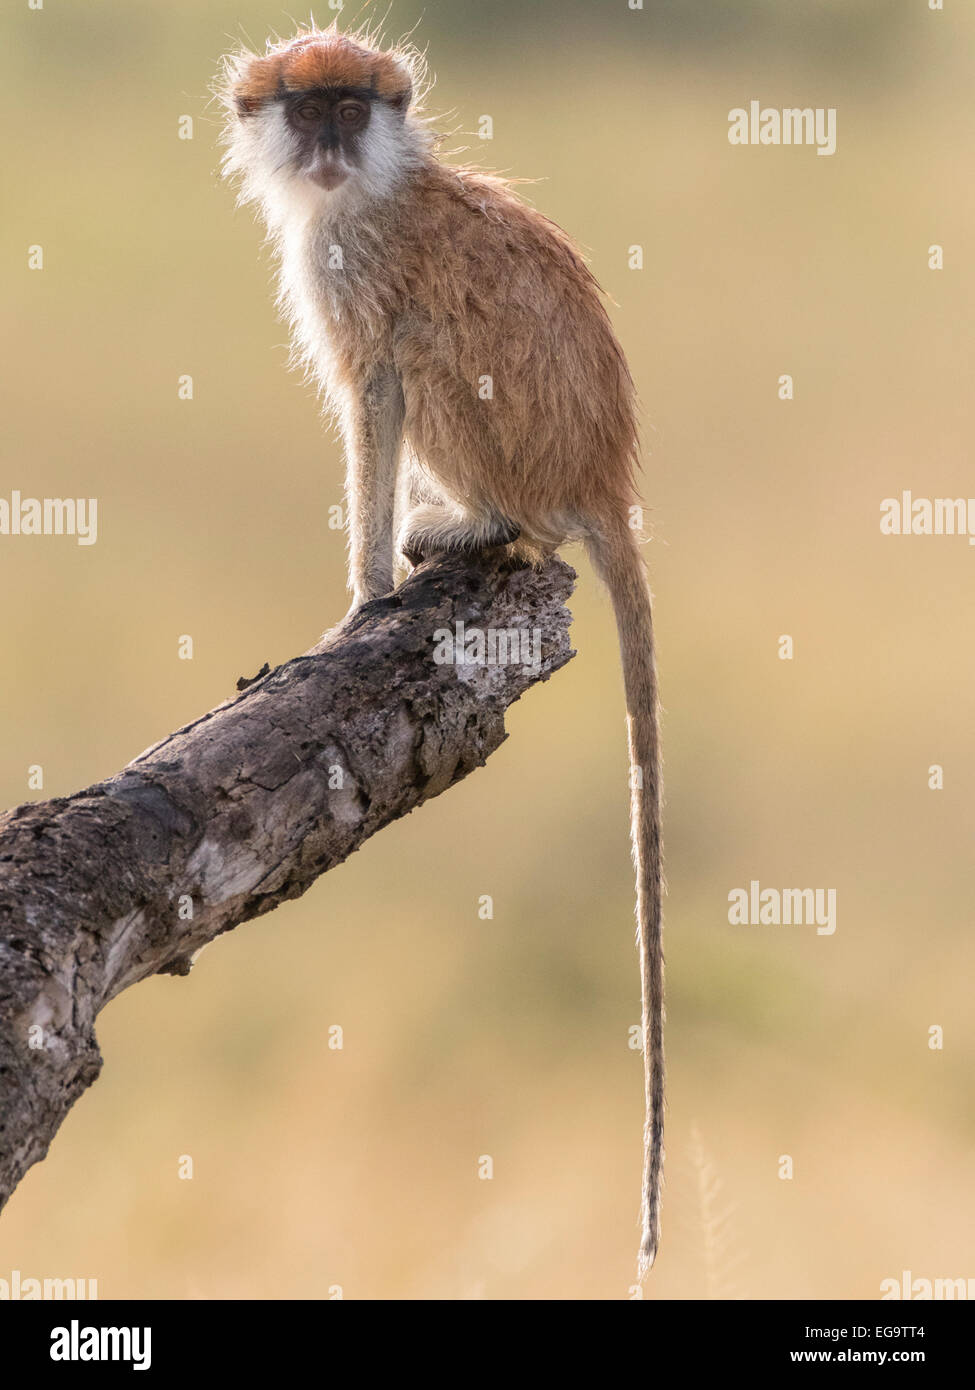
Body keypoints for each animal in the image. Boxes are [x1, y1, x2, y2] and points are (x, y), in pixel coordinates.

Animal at [218, 23, 664, 1277]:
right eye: (305, 110)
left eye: (347, 109)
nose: (325, 145)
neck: (374, 187)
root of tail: (599, 478)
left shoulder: (354, 270)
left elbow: (373, 388)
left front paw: (365, 594)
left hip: (507, 439)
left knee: (425, 352)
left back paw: (481, 525)